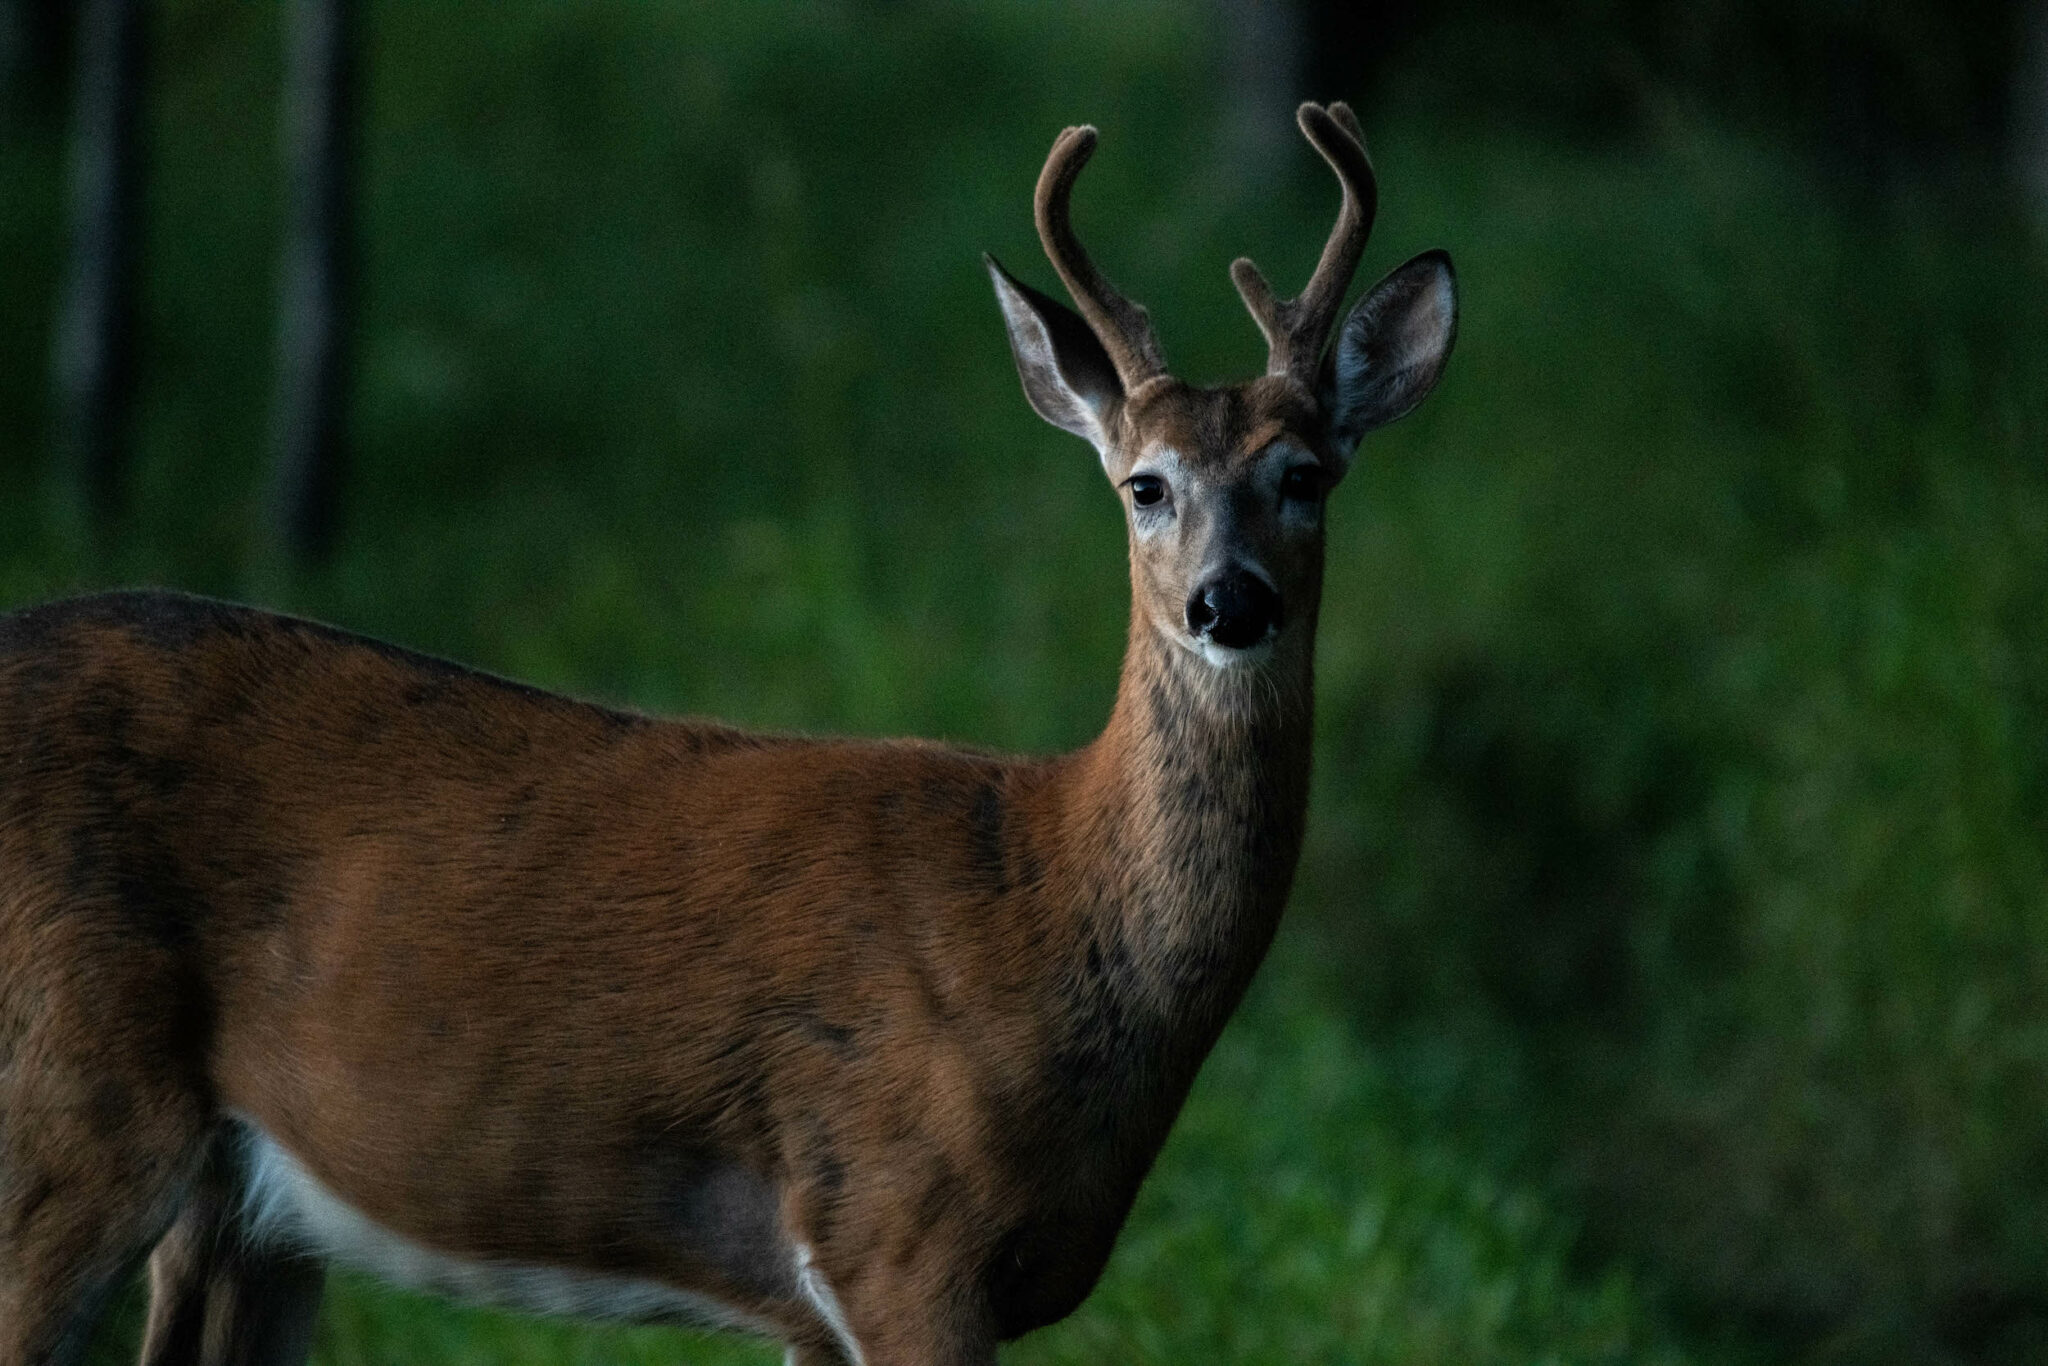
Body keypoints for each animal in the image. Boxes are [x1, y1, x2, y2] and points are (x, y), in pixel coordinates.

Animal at [0, 102, 1455, 1366]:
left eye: (1305, 475)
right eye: (1145, 485)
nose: (1229, 601)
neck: (1044, 905)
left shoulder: (818, 1302)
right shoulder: (900, 1226)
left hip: (246, 1209)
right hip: (61, 1104)